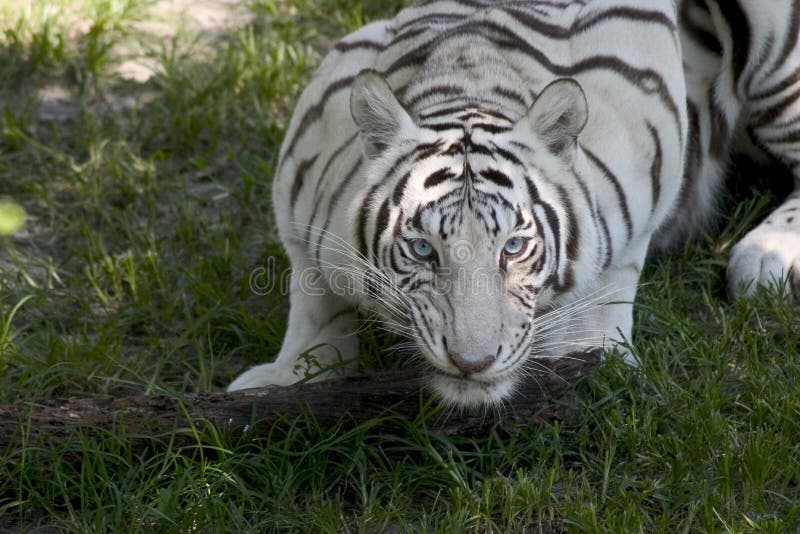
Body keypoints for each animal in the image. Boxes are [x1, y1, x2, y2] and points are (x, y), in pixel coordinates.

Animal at [227, 0, 800, 406]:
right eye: (421, 250)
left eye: (514, 248)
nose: (472, 363)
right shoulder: (300, 190)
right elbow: (313, 302)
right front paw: (284, 378)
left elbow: (613, 276)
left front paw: (593, 354)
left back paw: (765, 259)